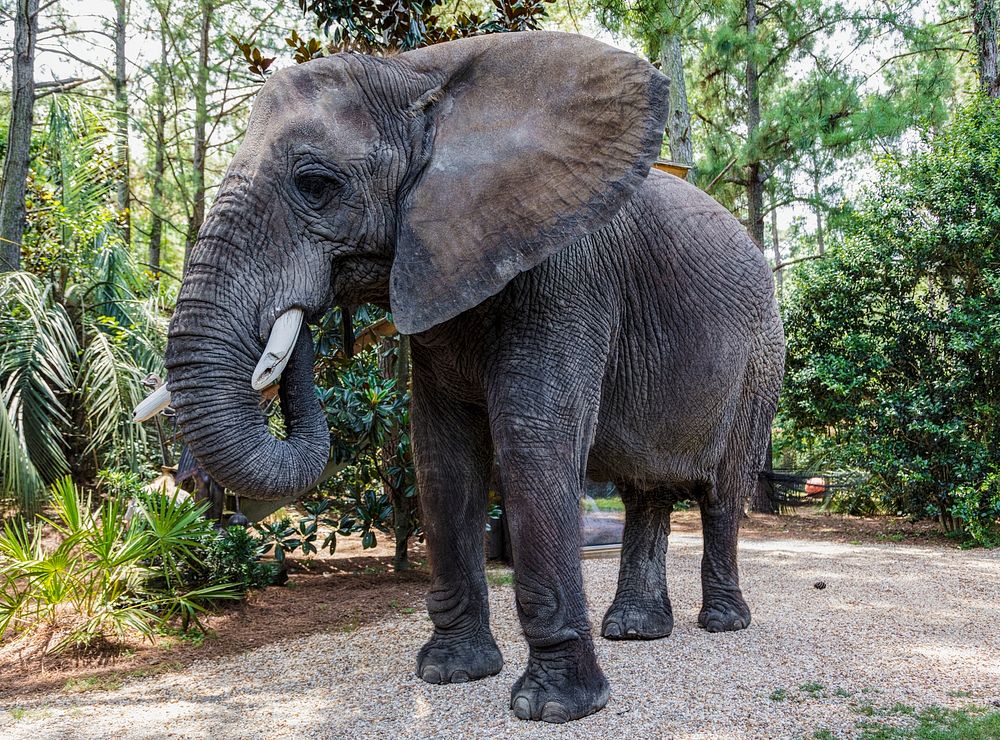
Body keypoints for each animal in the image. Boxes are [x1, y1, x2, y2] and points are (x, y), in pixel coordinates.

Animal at [156, 31, 784, 723]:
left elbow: (533, 441)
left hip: (760, 360)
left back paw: (722, 623)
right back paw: (636, 632)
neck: (413, 74)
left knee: (723, 488)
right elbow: (441, 452)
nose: (298, 321)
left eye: (315, 185)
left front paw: (553, 708)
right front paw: (451, 675)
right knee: (645, 491)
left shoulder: (567, 269)